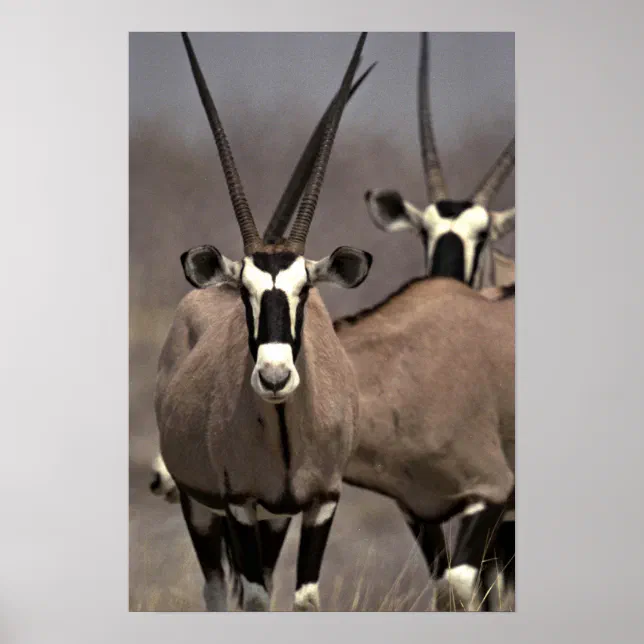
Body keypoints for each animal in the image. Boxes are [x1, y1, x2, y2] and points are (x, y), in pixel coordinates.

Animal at [154, 32, 375, 612]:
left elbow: (302, 598)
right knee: (216, 589)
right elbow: (251, 598)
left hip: (273, 520)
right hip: (200, 505)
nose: (274, 377)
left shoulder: (322, 501)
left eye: (305, 290)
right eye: (245, 293)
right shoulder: (239, 502)